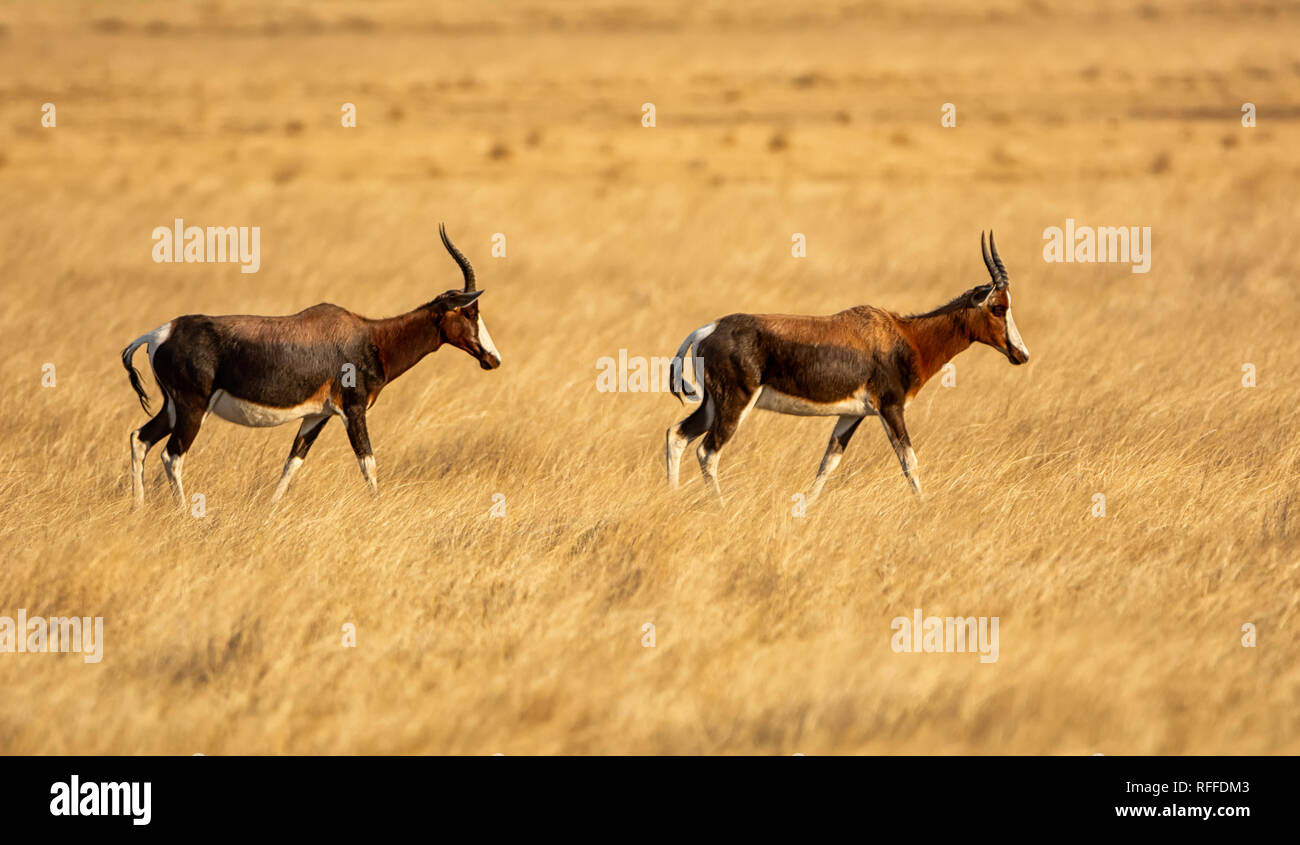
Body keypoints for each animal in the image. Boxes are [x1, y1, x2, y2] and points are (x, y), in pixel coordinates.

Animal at [121, 224, 501, 508]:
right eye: (469, 311)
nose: (492, 359)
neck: (370, 336)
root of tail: (158, 334)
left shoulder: (316, 416)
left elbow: (292, 463)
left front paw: (271, 509)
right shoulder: (353, 412)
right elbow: (368, 463)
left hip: (173, 407)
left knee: (140, 438)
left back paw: (138, 509)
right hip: (192, 409)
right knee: (172, 455)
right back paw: (184, 513)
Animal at [665, 232, 1028, 505]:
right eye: (998, 307)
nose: (1021, 354)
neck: (902, 335)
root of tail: (708, 329)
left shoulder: (851, 415)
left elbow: (828, 463)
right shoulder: (891, 408)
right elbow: (909, 461)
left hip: (712, 405)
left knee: (676, 435)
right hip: (734, 404)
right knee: (707, 451)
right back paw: (720, 507)